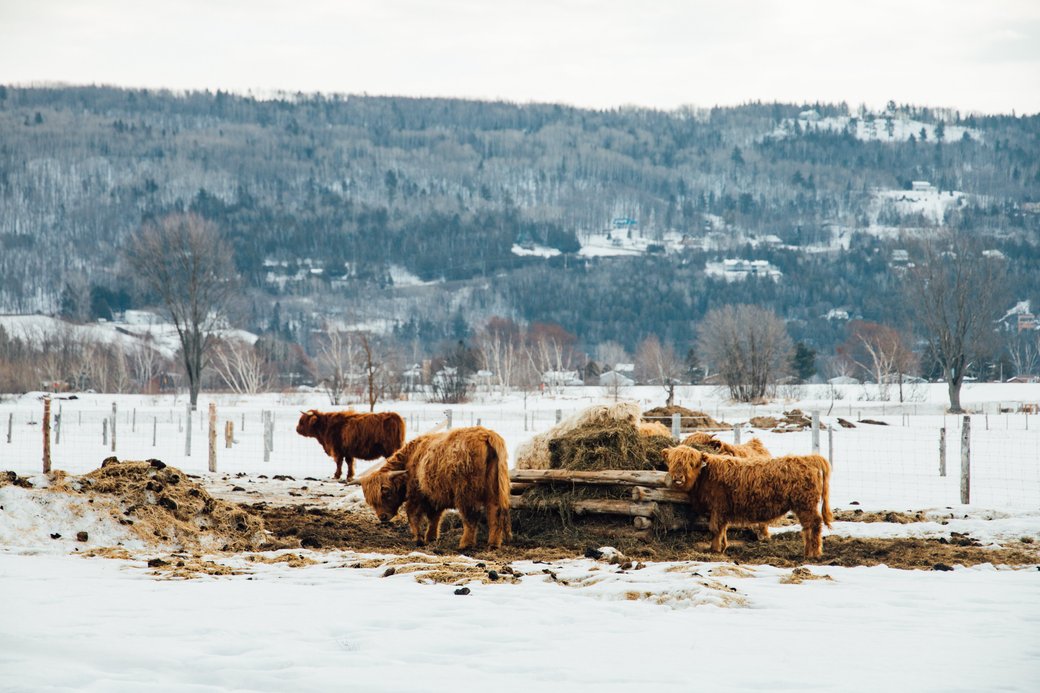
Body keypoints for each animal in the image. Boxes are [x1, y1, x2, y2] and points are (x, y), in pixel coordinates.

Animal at [350, 426, 511, 550]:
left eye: (387, 492)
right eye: (370, 501)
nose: (382, 517)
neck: (411, 459)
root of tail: (486, 435)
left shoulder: (416, 495)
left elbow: (413, 515)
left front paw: (419, 539)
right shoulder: (435, 496)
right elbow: (434, 517)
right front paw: (431, 537)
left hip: (465, 493)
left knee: (471, 517)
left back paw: (465, 544)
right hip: (494, 491)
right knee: (494, 512)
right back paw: (493, 544)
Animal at [663, 445, 833, 558]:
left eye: (692, 463)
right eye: (672, 462)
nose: (678, 477)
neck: (705, 476)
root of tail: (807, 458)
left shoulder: (718, 508)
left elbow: (715, 529)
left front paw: (714, 549)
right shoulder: (722, 511)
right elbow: (723, 529)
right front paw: (723, 547)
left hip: (805, 504)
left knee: (814, 524)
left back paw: (813, 554)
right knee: (807, 526)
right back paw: (807, 552)